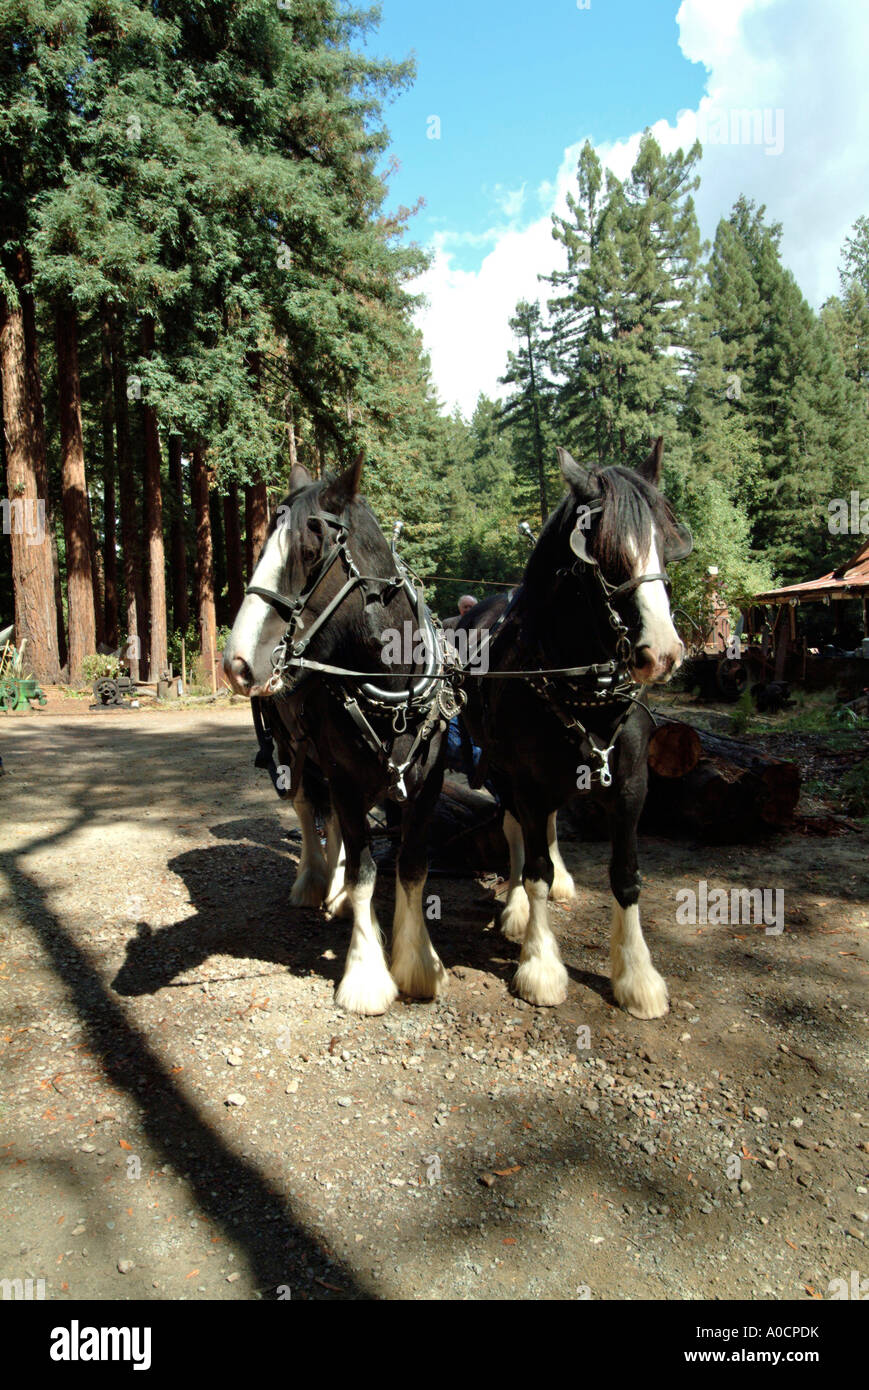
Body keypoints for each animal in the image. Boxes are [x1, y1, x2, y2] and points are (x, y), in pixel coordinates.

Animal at [222, 455, 451, 1016]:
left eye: (310, 551)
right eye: (261, 547)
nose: (236, 663)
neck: (392, 691)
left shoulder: (426, 783)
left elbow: (410, 867)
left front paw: (417, 965)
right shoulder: (343, 776)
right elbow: (365, 869)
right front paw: (366, 977)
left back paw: (339, 896)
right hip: (295, 751)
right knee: (311, 811)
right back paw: (314, 883)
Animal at [458, 437, 692, 1019]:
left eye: (666, 544)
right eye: (601, 555)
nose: (663, 653)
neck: (584, 688)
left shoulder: (631, 784)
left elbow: (626, 874)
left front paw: (637, 976)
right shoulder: (524, 778)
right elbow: (533, 863)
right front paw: (540, 964)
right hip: (500, 768)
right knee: (517, 830)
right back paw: (517, 907)